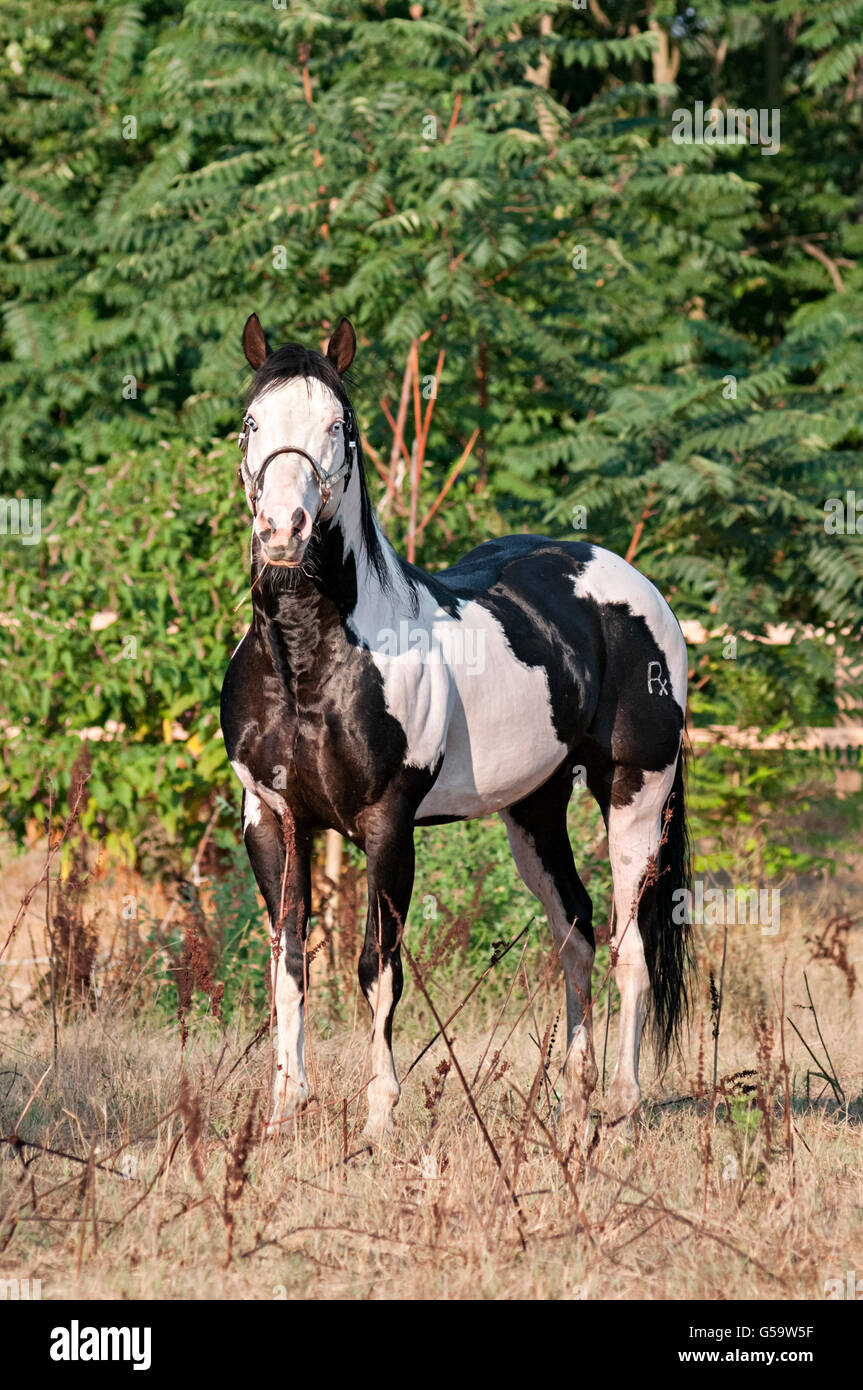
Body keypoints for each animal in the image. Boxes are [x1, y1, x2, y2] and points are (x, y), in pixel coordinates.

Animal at [220, 313, 693, 1139]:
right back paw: (573, 1102)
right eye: (252, 422)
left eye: (339, 425)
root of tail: (631, 585)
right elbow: (287, 961)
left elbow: (377, 965)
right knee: (575, 931)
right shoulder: (271, 820)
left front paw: (378, 1117)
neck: (308, 662)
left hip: (636, 795)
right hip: (534, 811)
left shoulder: (387, 826)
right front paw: (283, 1111)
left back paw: (623, 1104)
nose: (284, 530)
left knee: (629, 945)